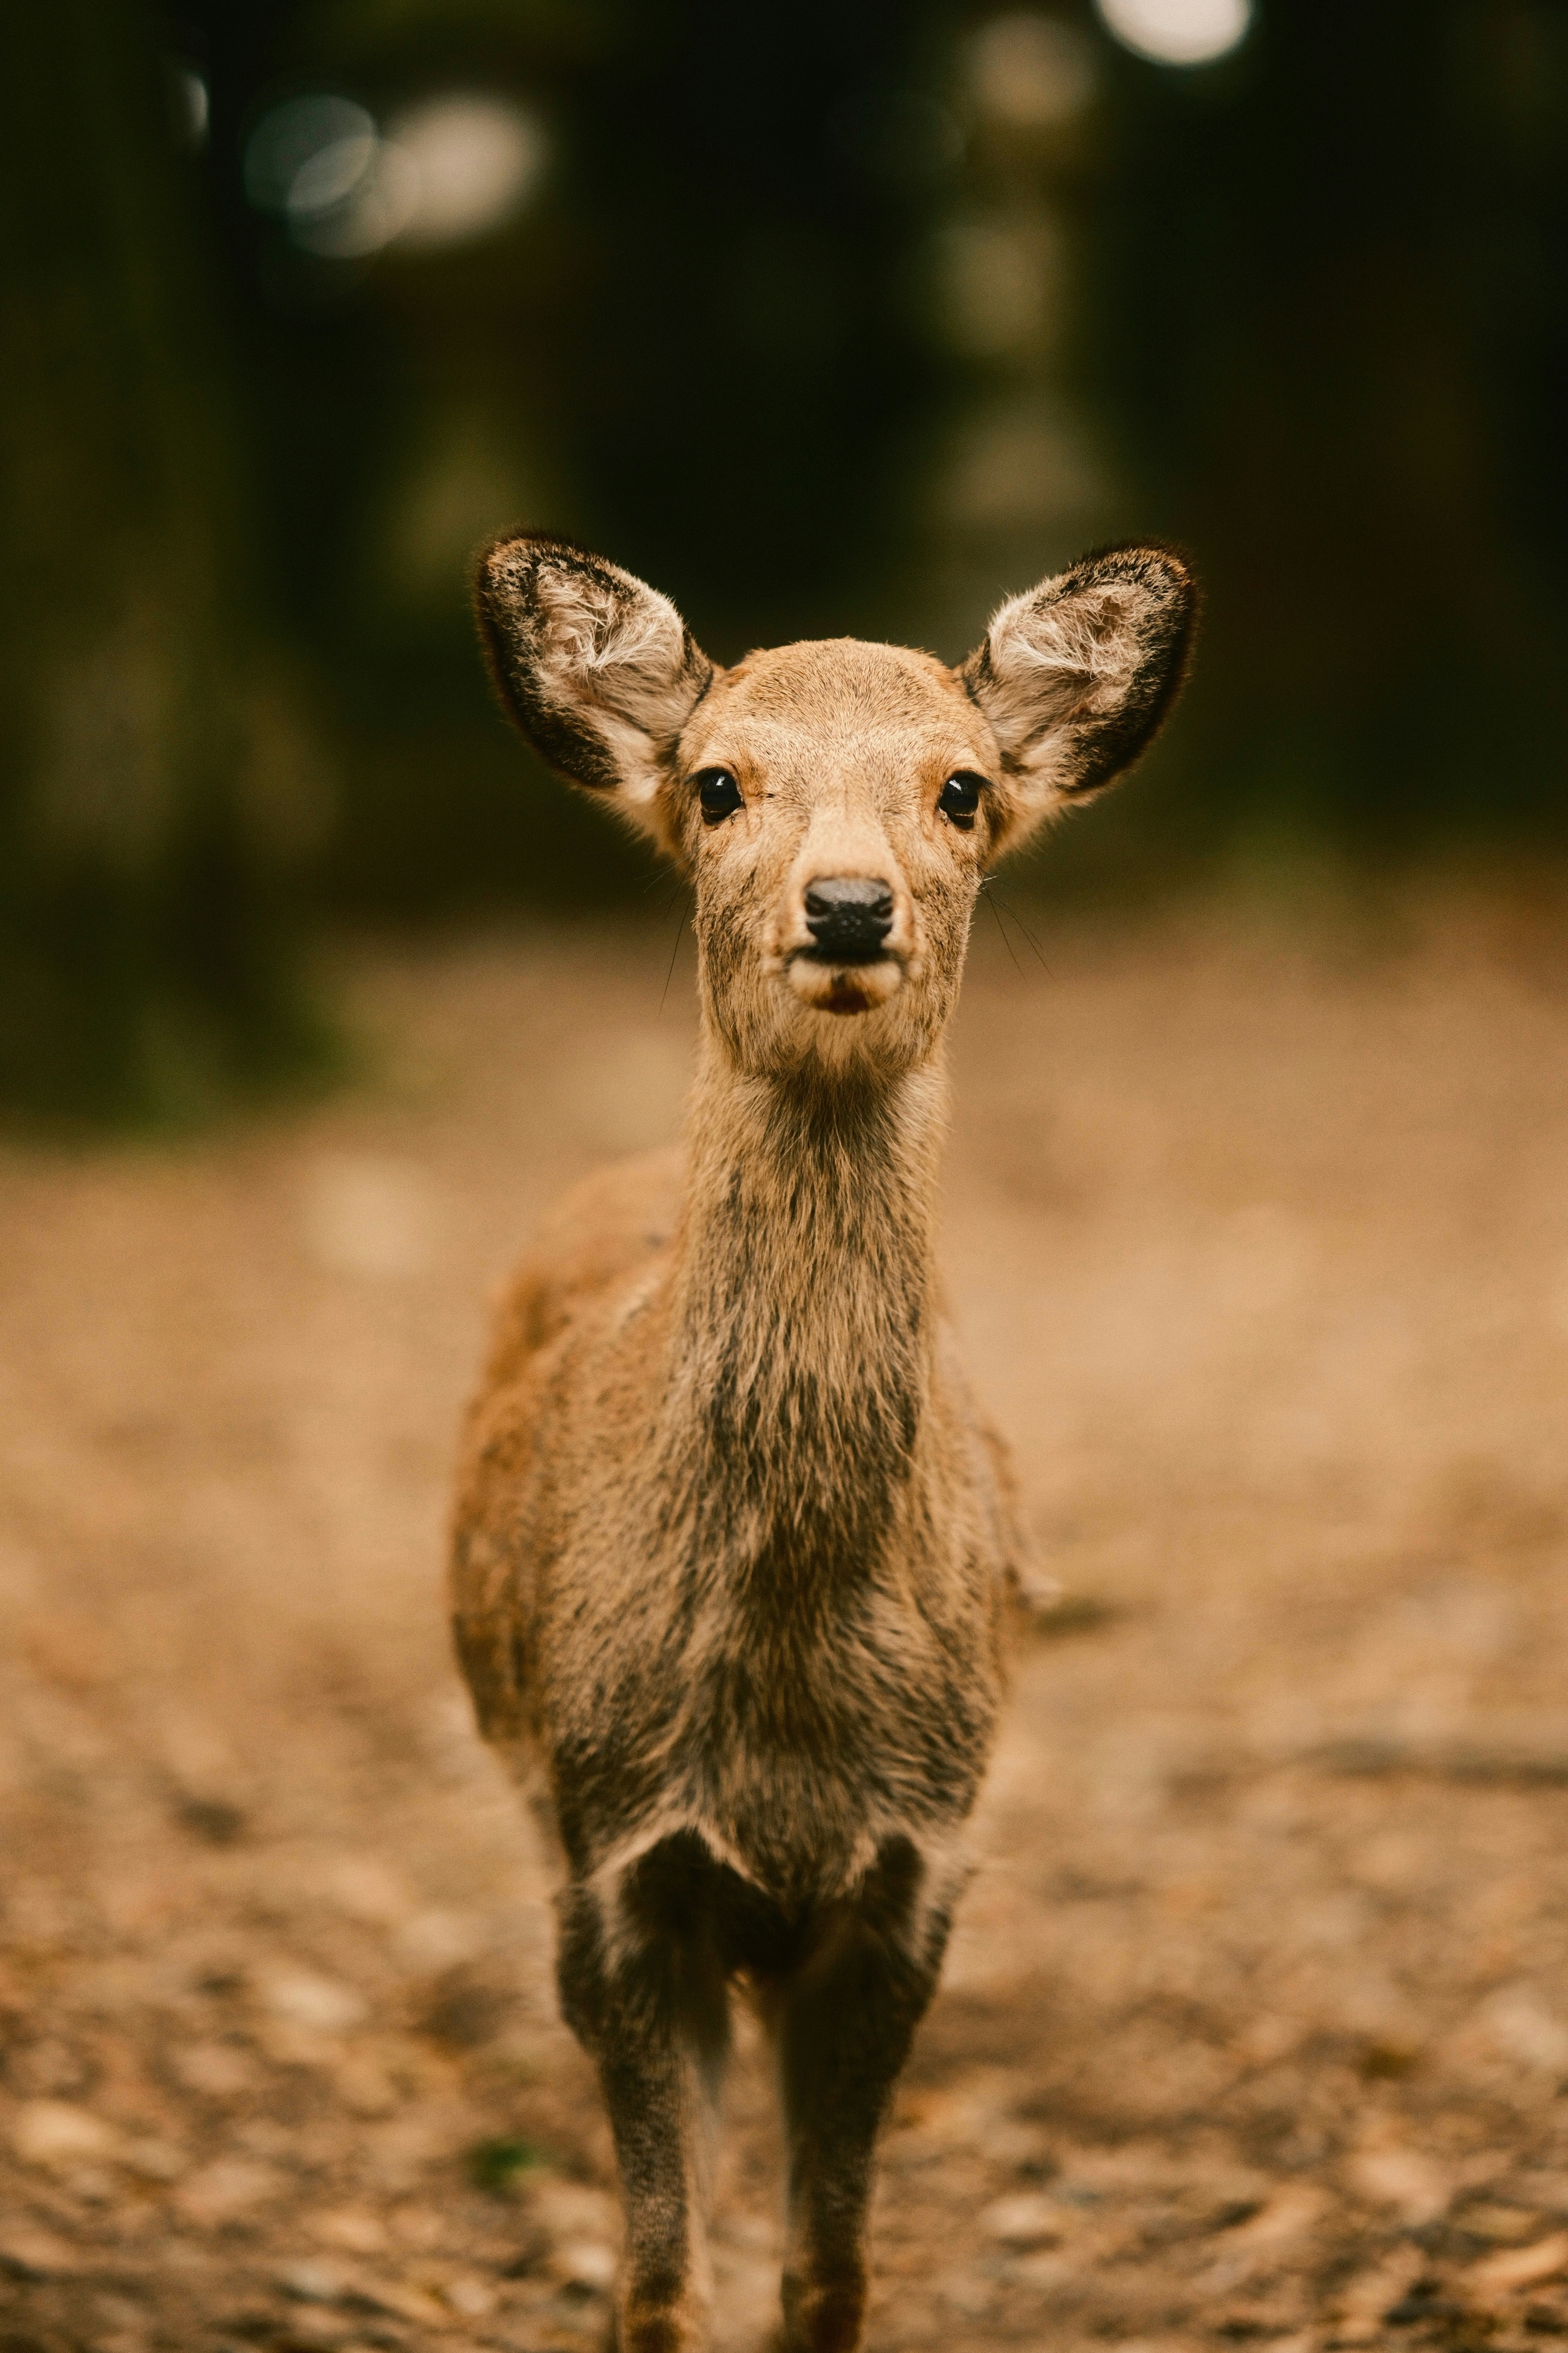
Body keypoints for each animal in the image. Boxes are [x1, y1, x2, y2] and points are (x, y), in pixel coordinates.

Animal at [450, 531, 1195, 2353]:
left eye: (962, 787)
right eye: (718, 781)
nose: (848, 903)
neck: (783, 1699)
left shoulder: (915, 1867)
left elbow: (831, 2270)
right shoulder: (613, 1851)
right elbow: (655, 2280)